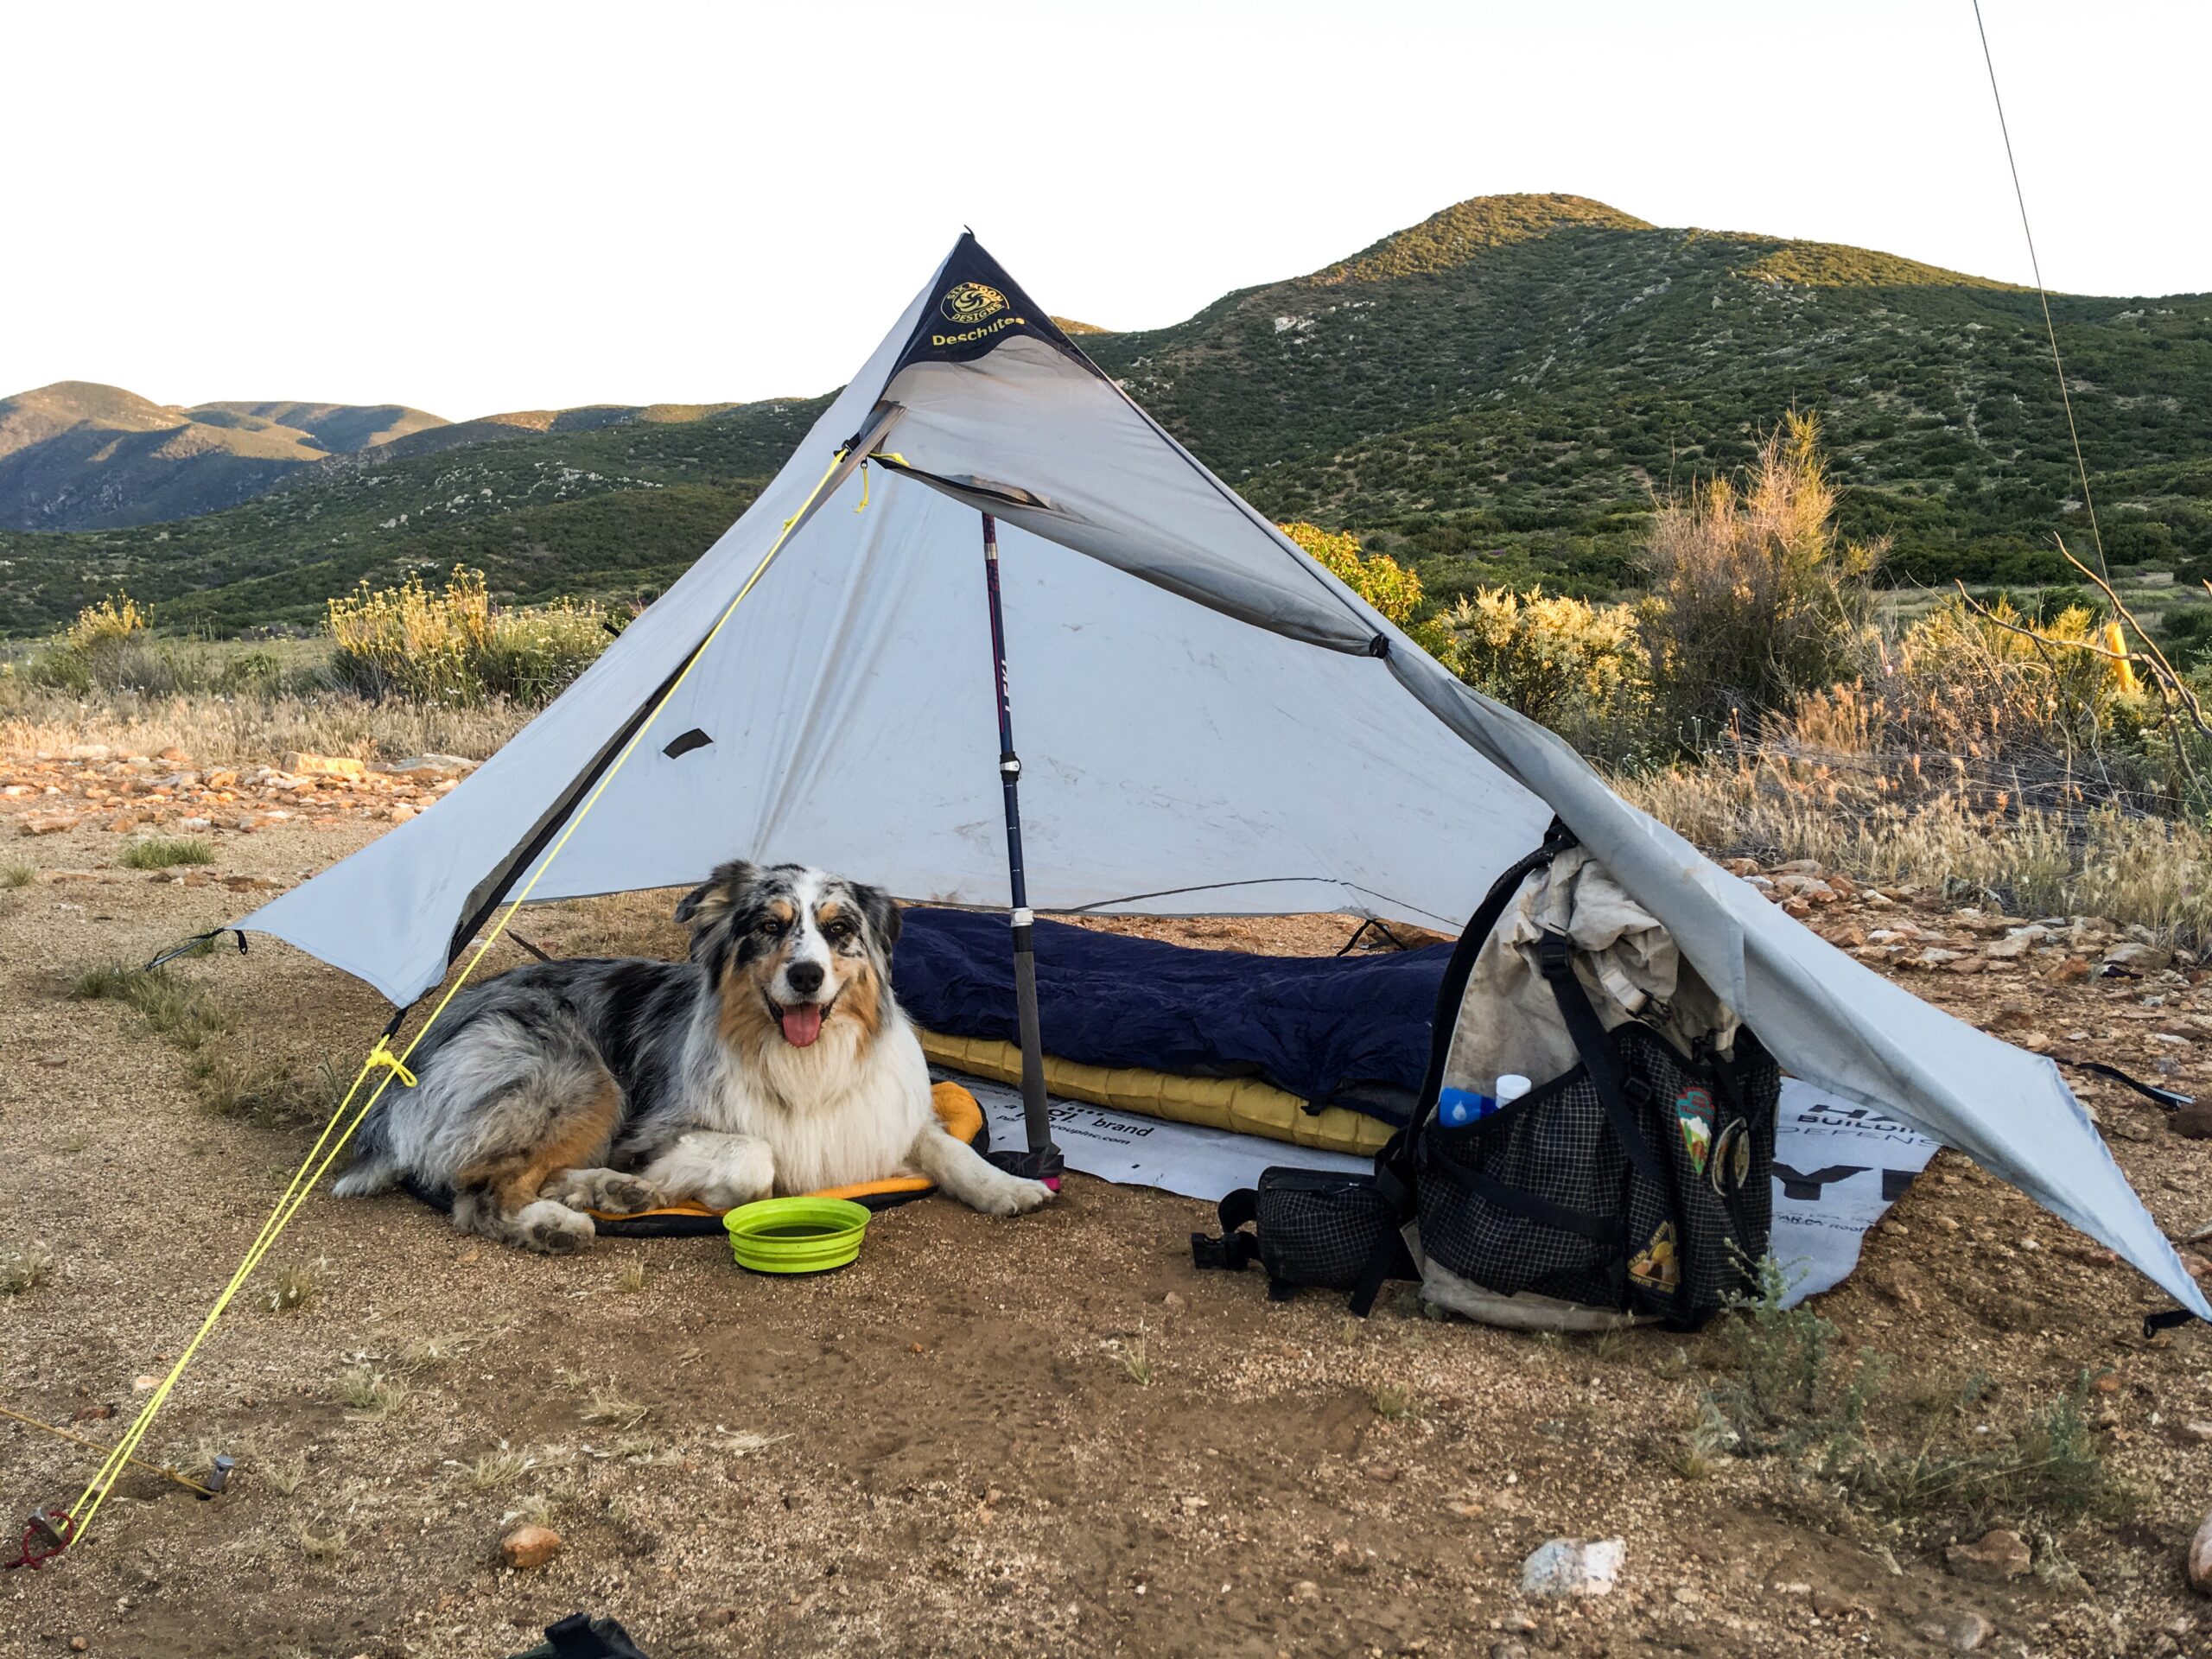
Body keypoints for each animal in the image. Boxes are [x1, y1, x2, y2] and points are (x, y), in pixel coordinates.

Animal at [332, 862, 1057, 1256]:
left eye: (838, 929)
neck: (808, 1066)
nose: (805, 976)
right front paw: (694, 1188)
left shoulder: (884, 1118)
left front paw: (1008, 1186)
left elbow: (950, 1148)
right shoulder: (652, 1131)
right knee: (480, 1192)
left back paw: (607, 1192)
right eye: (769, 926)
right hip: (576, 1076)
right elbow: (755, 1159)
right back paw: (558, 1221)